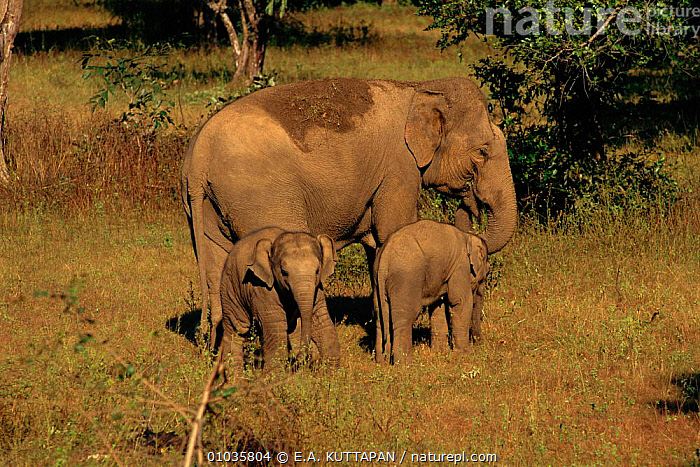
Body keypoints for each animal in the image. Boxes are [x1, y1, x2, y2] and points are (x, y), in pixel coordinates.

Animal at [181, 77, 517, 347]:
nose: (471, 206)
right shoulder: (399, 168)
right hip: (262, 197)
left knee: (218, 266)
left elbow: (377, 247)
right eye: (482, 152)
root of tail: (198, 158)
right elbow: (394, 230)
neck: (418, 89)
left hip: (206, 208)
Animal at [217, 227, 340, 370]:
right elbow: (275, 330)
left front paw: (332, 373)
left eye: (317, 271)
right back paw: (235, 376)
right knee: (236, 331)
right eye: (284, 272)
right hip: (229, 288)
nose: (299, 360)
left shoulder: (317, 288)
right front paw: (275, 375)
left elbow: (323, 323)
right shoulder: (262, 288)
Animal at [373, 220, 489, 365]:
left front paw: (440, 352)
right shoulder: (460, 266)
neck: (467, 236)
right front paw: (465, 355)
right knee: (405, 318)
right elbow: (460, 302)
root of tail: (384, 258)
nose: (479, 343)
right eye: (484, 277)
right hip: (406, 279)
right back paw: (406, 364)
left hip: (377, 281)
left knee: (380, 317)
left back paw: (381, 362)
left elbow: (438, 306)